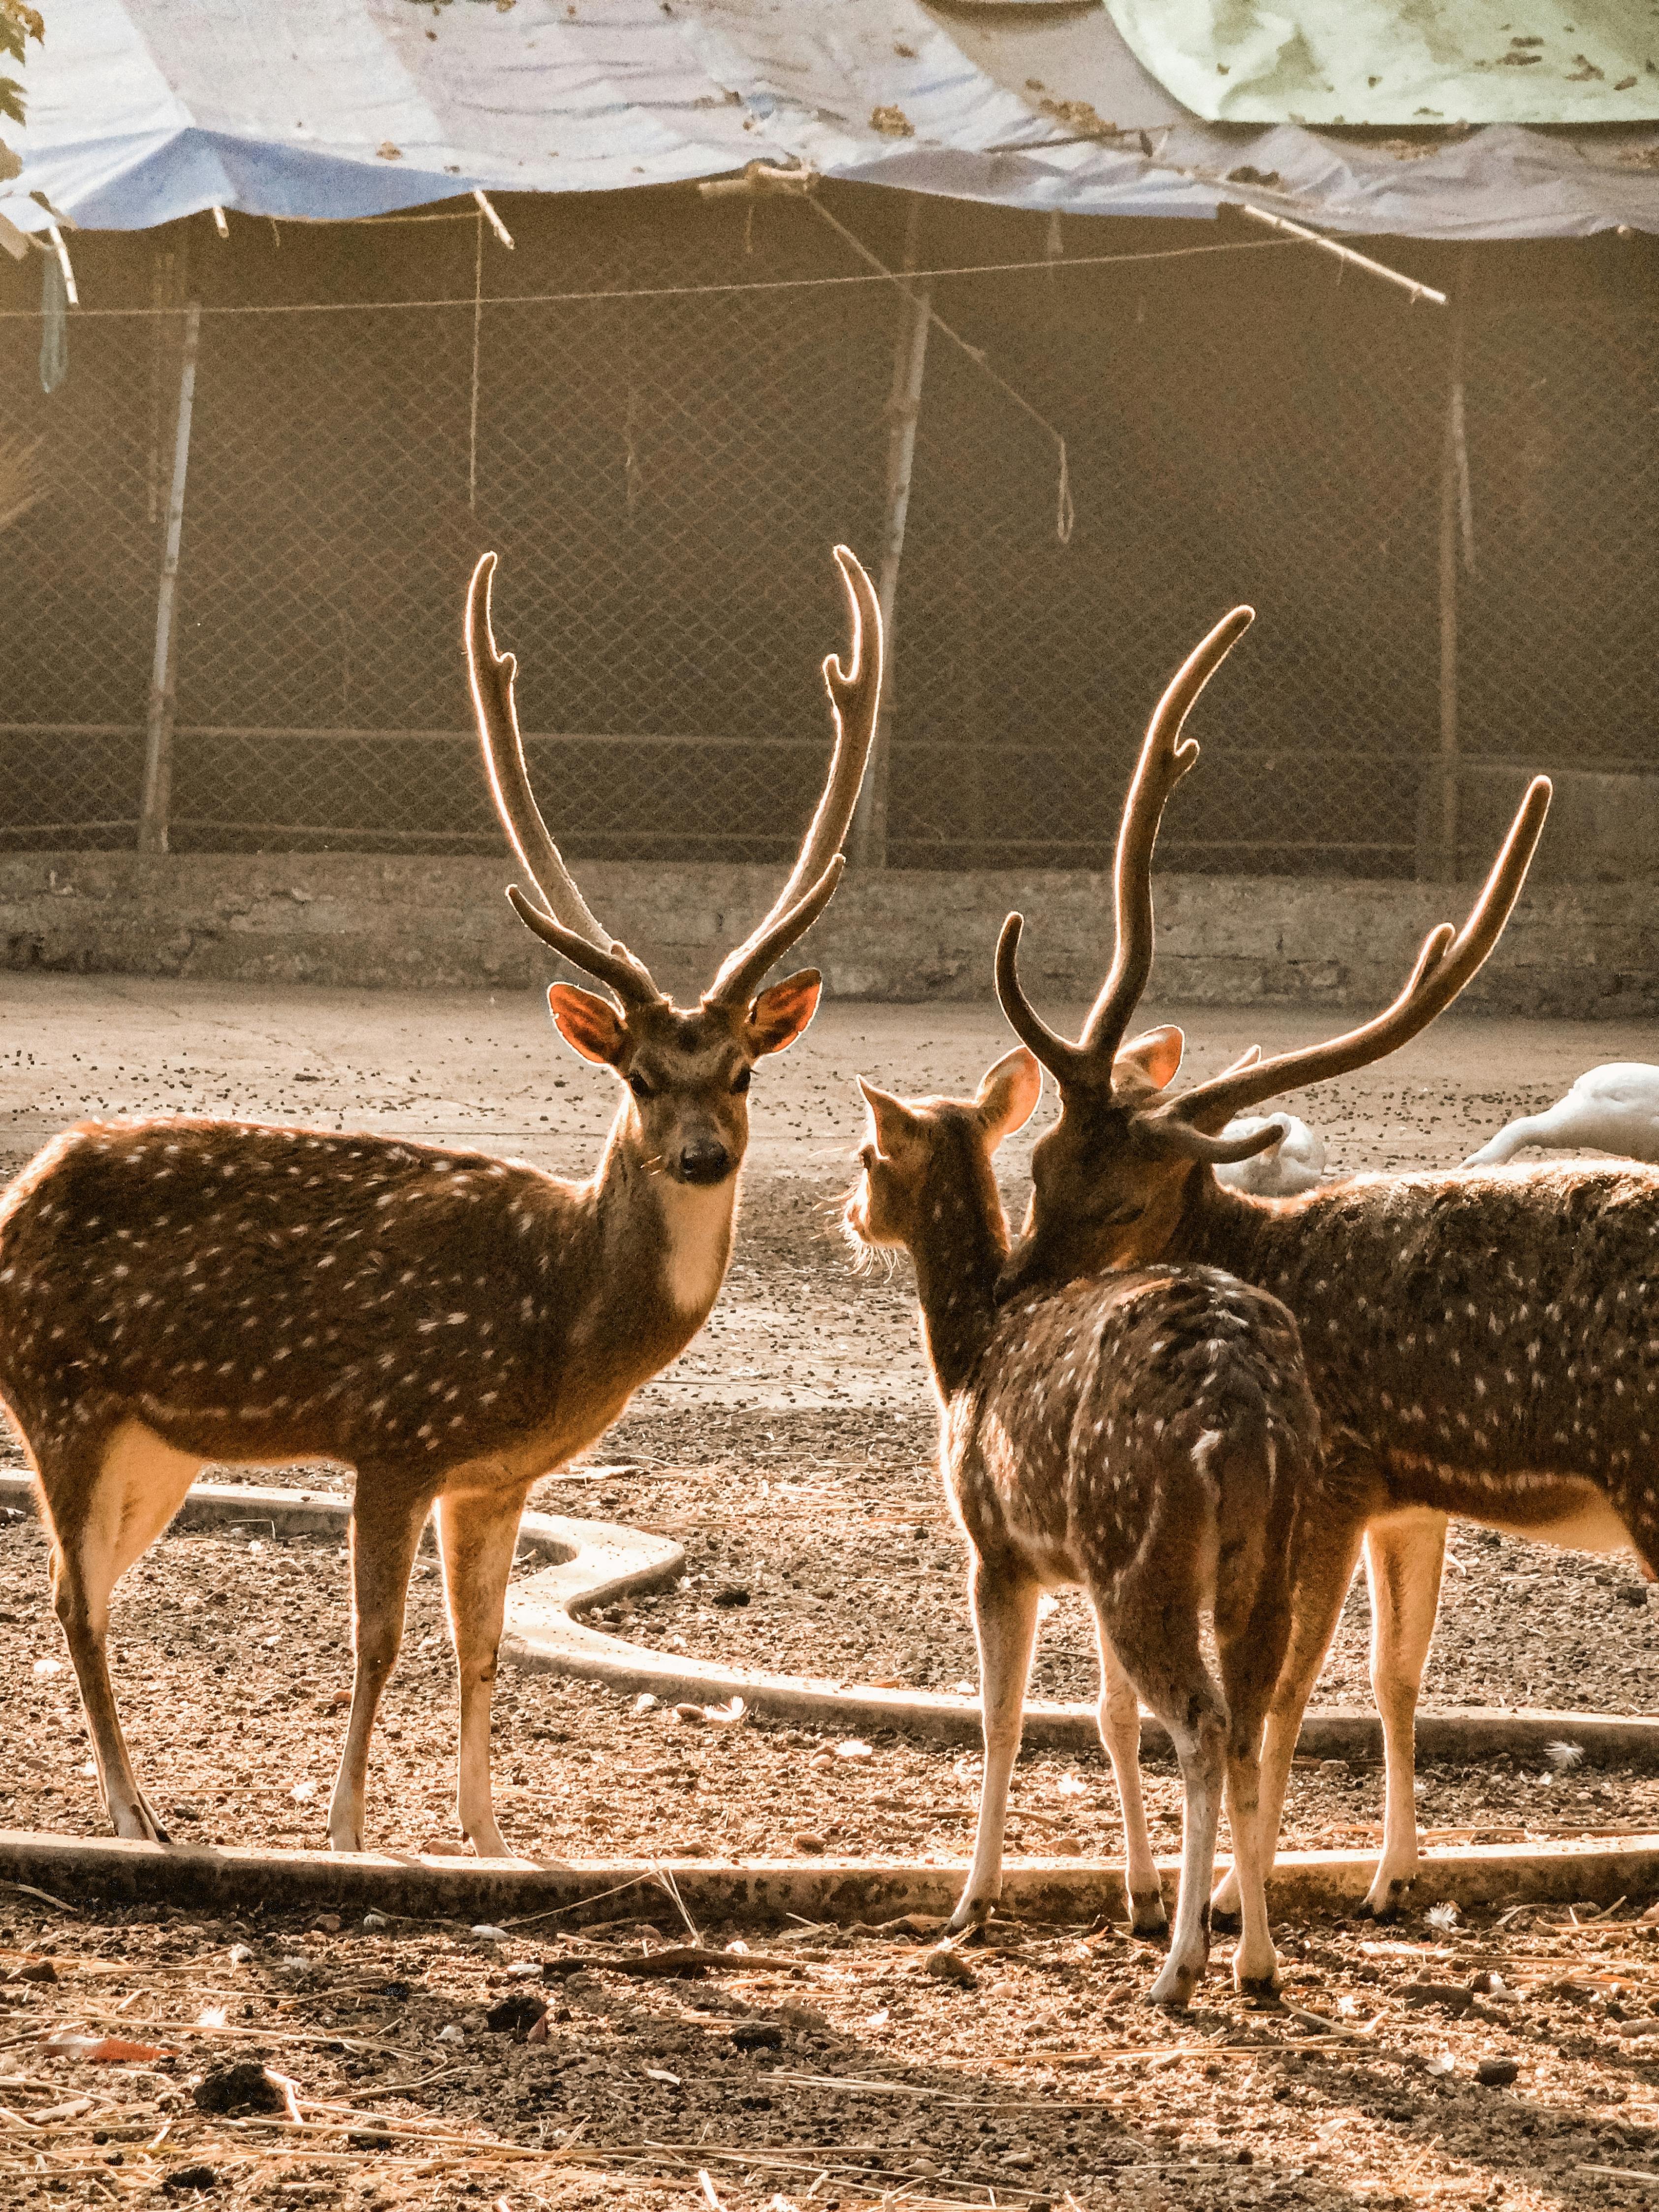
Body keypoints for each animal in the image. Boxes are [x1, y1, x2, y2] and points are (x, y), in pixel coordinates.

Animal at [0, 542, 882, 1859]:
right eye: (638, 1073)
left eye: (742, 1070)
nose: (701, 1156)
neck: (562, 1318)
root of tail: (19, 1190)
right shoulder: (396, 1427)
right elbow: (378, 1639)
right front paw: (347, 1830)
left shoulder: (497, 1472)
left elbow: (481, 1648)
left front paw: (490, 1836)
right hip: (65, 1394)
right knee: (69, 1594)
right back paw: (131, 1808)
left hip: (157, 1440)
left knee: (91, 1584)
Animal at [845, 1047, 1326, 2004]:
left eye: (869, 1154)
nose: (850, 1212)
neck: (964, 1360)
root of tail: (1244, 1418)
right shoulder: (1084, 1565)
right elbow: (1111, 1715)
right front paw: (1138, 1897)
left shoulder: (997, 1549)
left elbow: (1002, 1718)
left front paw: (972, 1902)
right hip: (1243, 1558)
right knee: (1247, 1723)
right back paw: (1255, 1960)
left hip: (1139, 1543)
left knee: (1204, 1724)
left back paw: (1182, 1969)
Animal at [988, 604, 1619, 1923]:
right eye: (1037, 1158)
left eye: (1124, 1195)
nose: (1010, 1296)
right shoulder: (1408, 1495)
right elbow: (1393, 1675)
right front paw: (1388, 1876)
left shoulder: (1330, 1477)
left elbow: (1279, 1692)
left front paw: (1239, 1900)